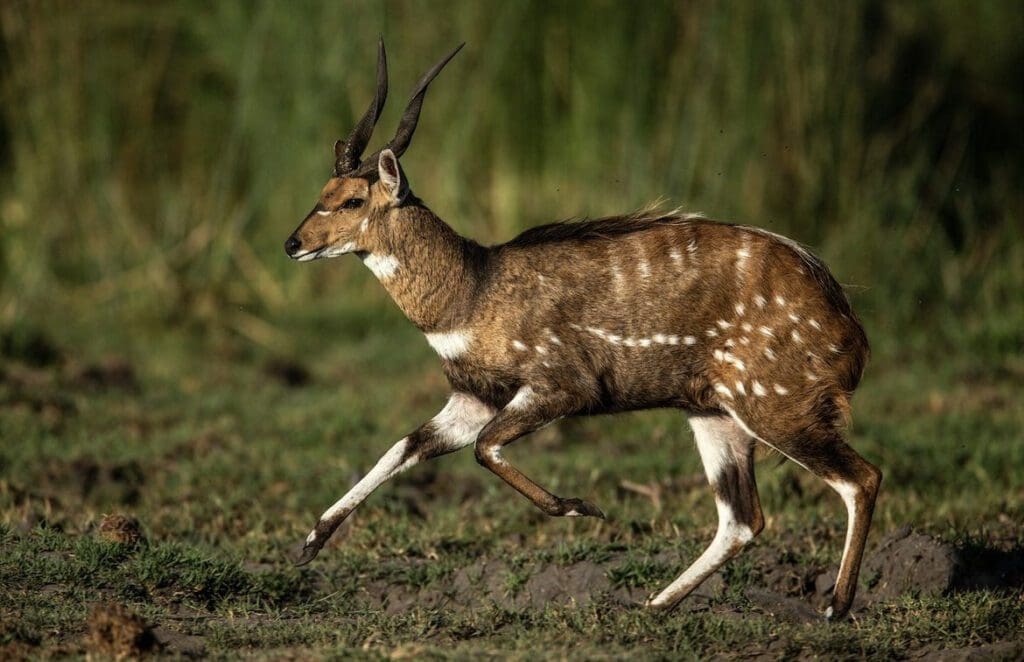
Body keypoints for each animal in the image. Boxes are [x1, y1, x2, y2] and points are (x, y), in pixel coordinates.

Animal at [284, 40, 881, 620]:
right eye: (322, 191)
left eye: (353, 200)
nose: (292, 243)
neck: (471, 292)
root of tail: (850, 333)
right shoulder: (473, 395)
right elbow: (406, 445)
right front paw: (309, 544)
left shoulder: (563, 385)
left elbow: (484, 447)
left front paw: (582, 508)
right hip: (714, 411)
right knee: (743, 519)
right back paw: (652, 605)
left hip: (776, 403)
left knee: (861, 478)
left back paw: (834, 605)